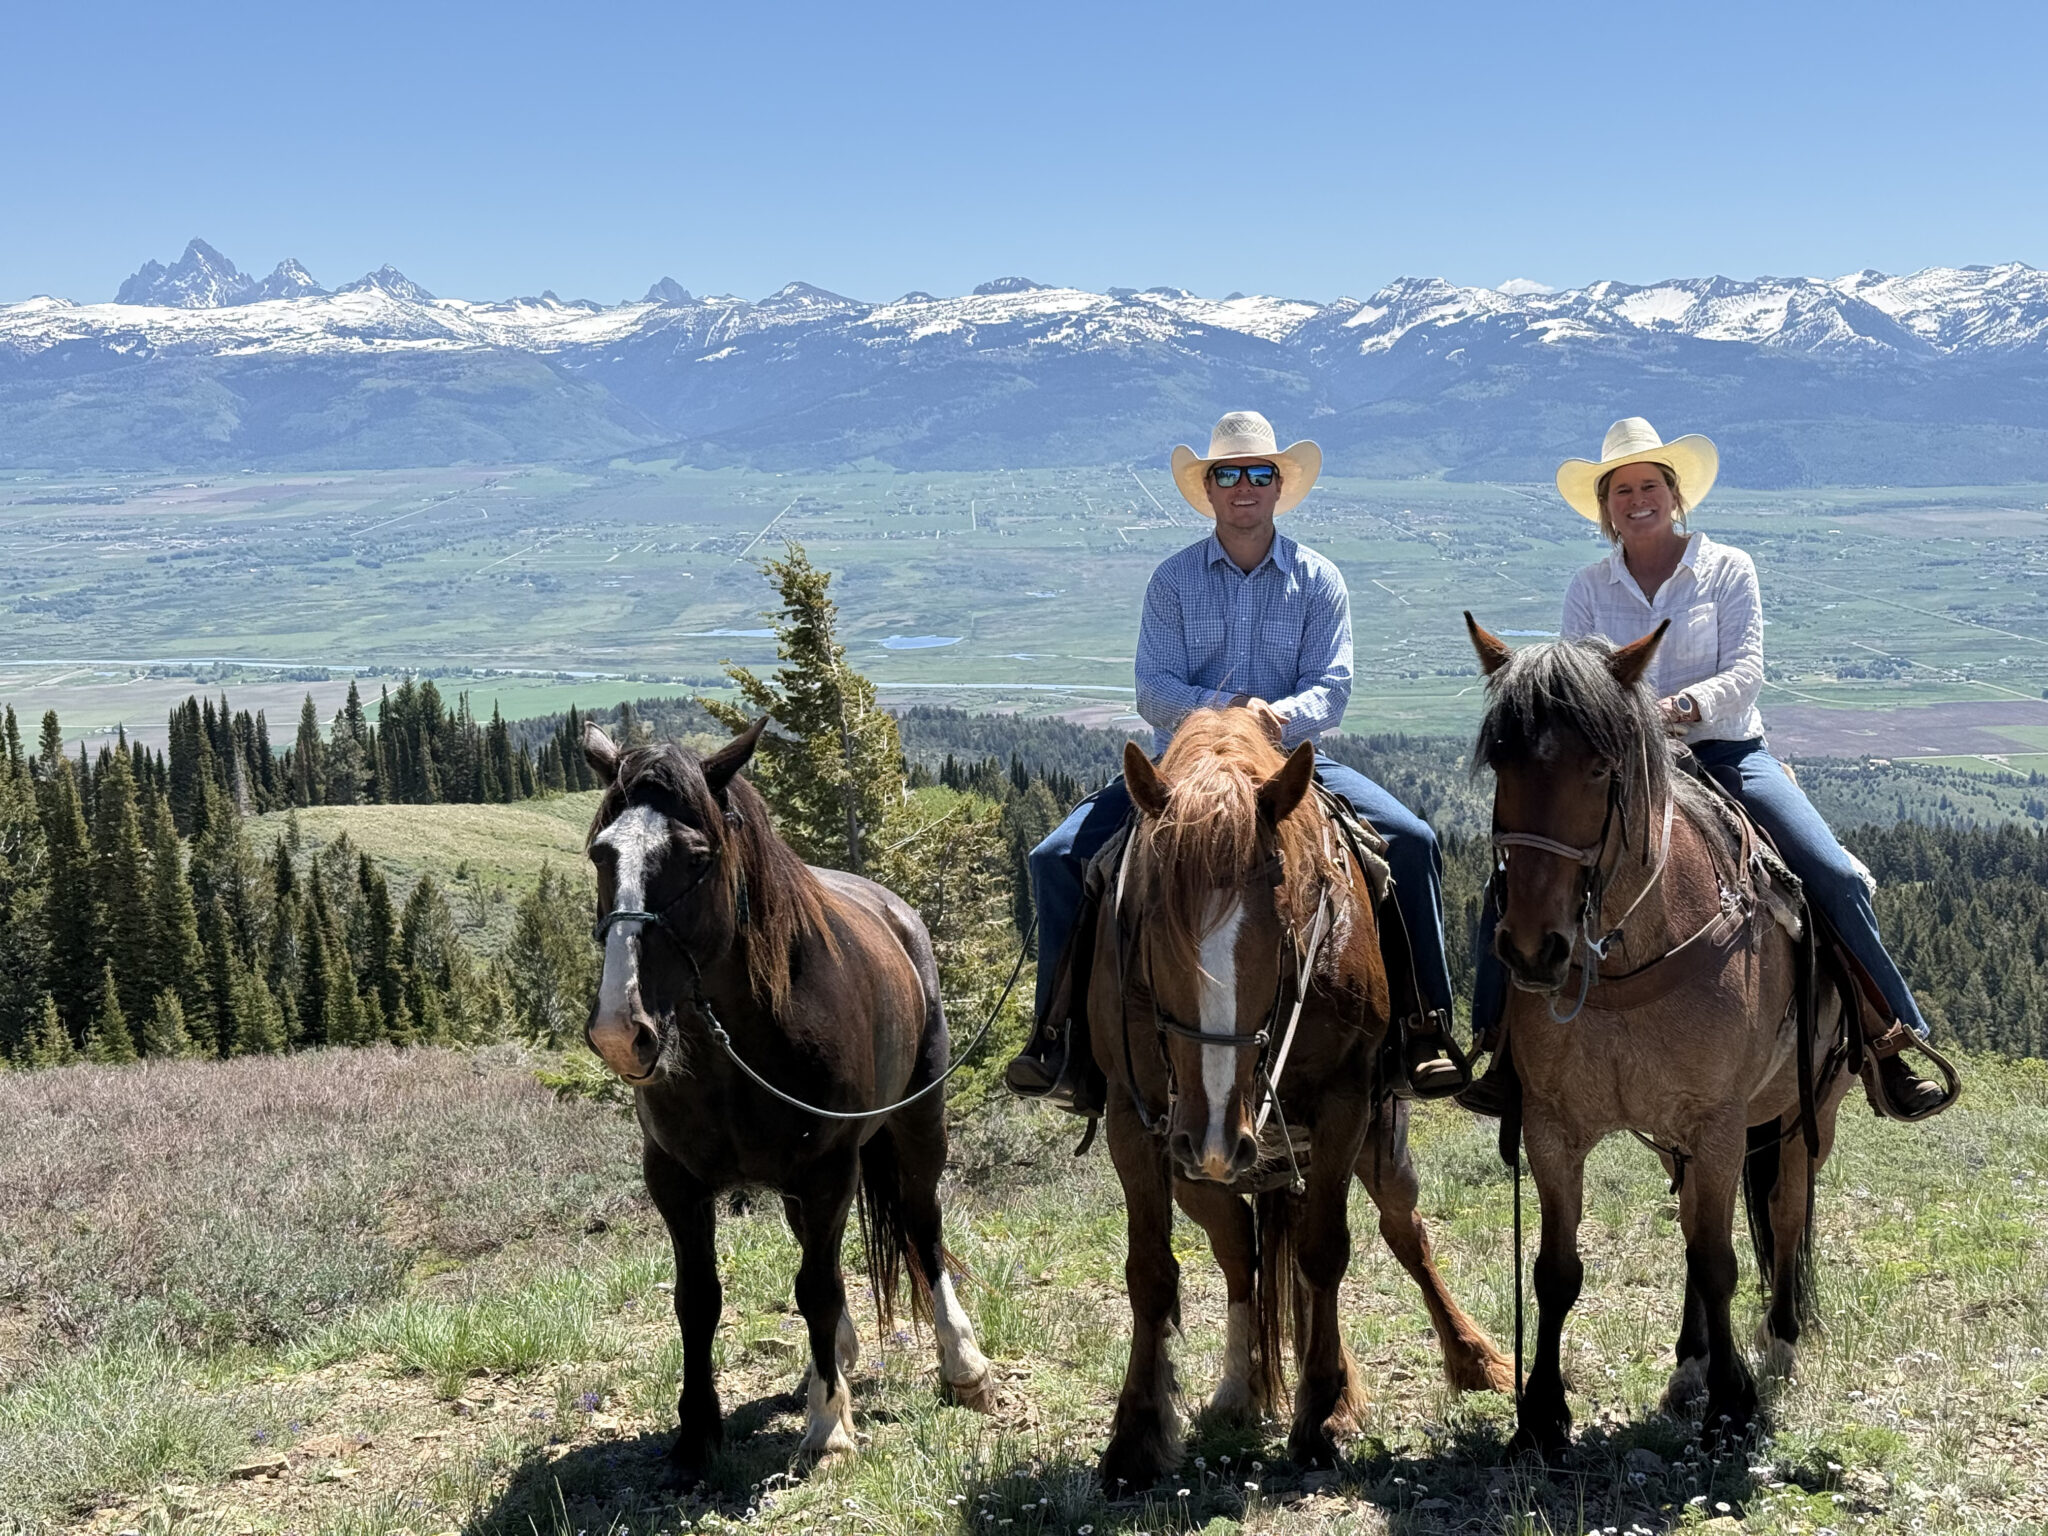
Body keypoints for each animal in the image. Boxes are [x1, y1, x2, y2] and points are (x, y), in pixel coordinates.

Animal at [580, 718, 993, 1477]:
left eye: (695, 857)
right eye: (602, 852)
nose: (622, 1031)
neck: (735, 1046)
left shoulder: (829, 1169)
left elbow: (819, 1289)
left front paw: (829, 1430)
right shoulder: (675, 1181)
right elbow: (698, 1300)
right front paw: (696, 1437)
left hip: (917, 1127)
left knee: (921, 1226)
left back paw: (963, 1367)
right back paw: (832, 1362)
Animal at [1087, 708, 1511, 1491]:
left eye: (1277, 926)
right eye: (1154, 922)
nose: (1215, 1133)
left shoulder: (1344, 1106)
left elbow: (1324, 1253)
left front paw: (1321, 1418)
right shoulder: (1136, 1123)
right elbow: (1151, 1273)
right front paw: (1134, 1438)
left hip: (1375, 1143)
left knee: (1405, 1233)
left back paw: (1472, 1361)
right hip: (1203, 1171)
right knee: (1238, 1250)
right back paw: (1238, 1391)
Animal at [1465, 615, 1855, 1457]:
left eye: (1600, 766)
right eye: (1501, 761)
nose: (1532, 948)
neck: (1628, 963)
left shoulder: (1719, 1125)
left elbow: (1720, 1261)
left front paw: (1734, 1407)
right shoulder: (1552, 1127)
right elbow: (1558, 1270)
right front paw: (1541, 1415)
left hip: (1808, 1113)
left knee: (1785, 1213)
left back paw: (1777, 1344)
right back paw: (1690, 1363)